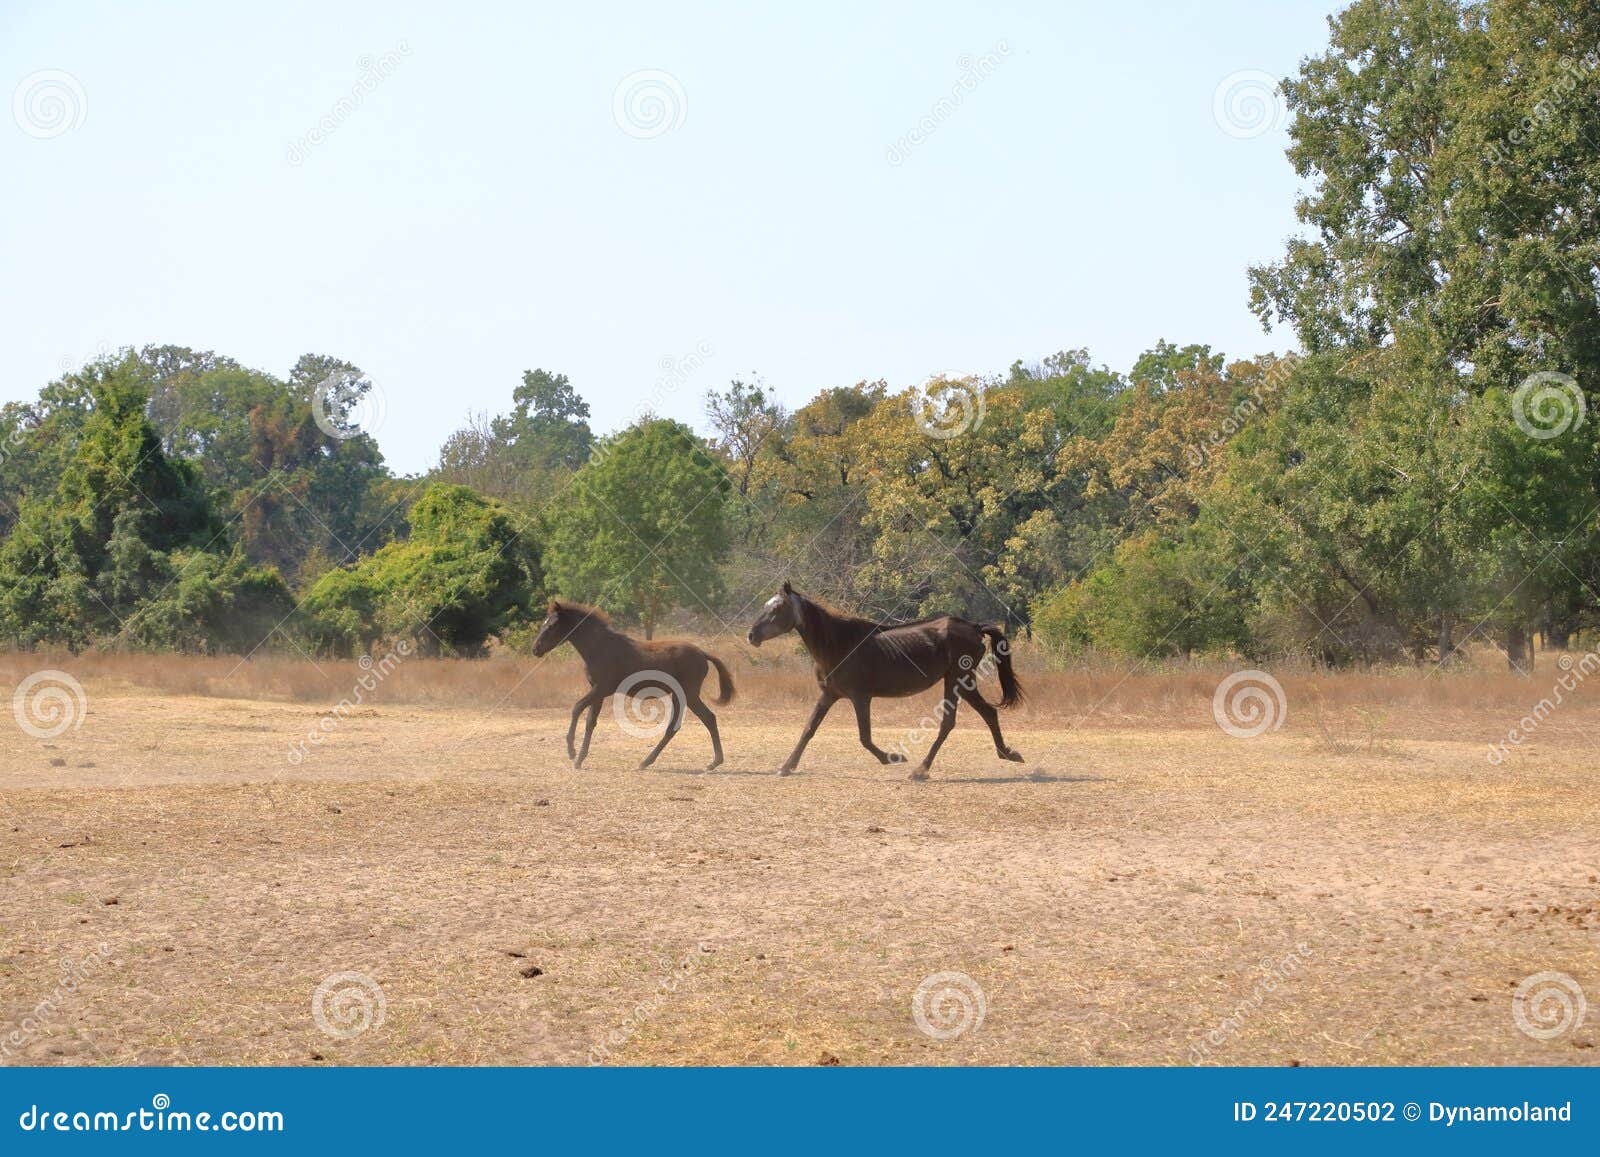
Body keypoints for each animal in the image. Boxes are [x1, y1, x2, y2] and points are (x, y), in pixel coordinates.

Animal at [531, 600, 735, 771]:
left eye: (552, 625)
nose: (535, 649)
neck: (601, 648)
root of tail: (702, 653)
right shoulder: (597, 691)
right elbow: (590, 722)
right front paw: (580, 759)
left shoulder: (602, 688)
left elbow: (577, 708)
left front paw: (571, 752)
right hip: (680, 696)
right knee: (681, 725)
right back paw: (650, 761)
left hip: (688, 694)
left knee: (705, 719)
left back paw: (712, 762)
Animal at [746, 582, 1024, 779]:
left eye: (776, 608)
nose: (751, 635)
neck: (838, 643)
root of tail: (974, 627)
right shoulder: (829, 695)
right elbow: (808, 729)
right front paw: (785, 767)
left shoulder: (860, 697)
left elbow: (865, 737)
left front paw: (893, 757)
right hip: (960, 682)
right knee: (985, 714)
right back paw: (1007, 754)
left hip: (958, 680)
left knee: (953, 722)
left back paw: (921, 770)